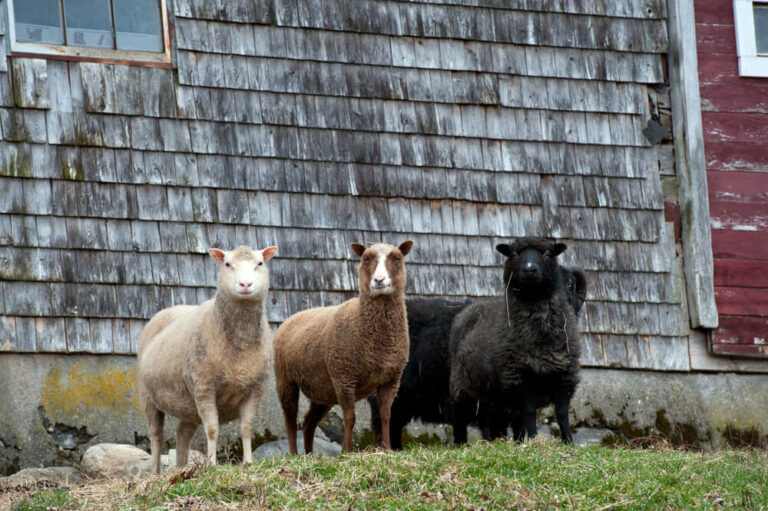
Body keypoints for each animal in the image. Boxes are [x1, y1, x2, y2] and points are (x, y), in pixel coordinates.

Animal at [138, 245, 277, 474]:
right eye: (227, 264)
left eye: (260, 263)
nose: (245, 285)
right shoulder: (204, 387)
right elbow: (212, 429)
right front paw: (212, 464)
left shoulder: (255, 388)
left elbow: (246, 428)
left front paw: (248, 462)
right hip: (148, 397)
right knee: (156, 436)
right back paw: (156, 473)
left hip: (187, 404)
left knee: (182, 432)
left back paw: (181, 468)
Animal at [273, 240, 413, 454]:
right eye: (366, 258)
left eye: (397, 258)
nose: (379, 280)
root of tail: (294, 316)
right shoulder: (343, 378)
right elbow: (350, 418)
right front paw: (346, 451)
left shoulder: (391, 379)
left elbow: (386, 415)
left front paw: (387, 449)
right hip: (285, 380)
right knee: (290, 419)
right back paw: (295, 454)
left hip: (321, 389)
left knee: (308, 422)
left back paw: (309, 454)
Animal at [449, 237, 582, 444]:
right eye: (514, 255)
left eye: (547, 254)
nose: (529, 269)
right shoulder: (519, 378)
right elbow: (529, 413)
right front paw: (534, 440)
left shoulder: (565, 377)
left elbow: (562, 415)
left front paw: (568, 441)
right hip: (462, 387)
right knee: (462, 419)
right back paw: (465, 443)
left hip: (492, 394)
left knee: (487, 419)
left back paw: (495, 442)